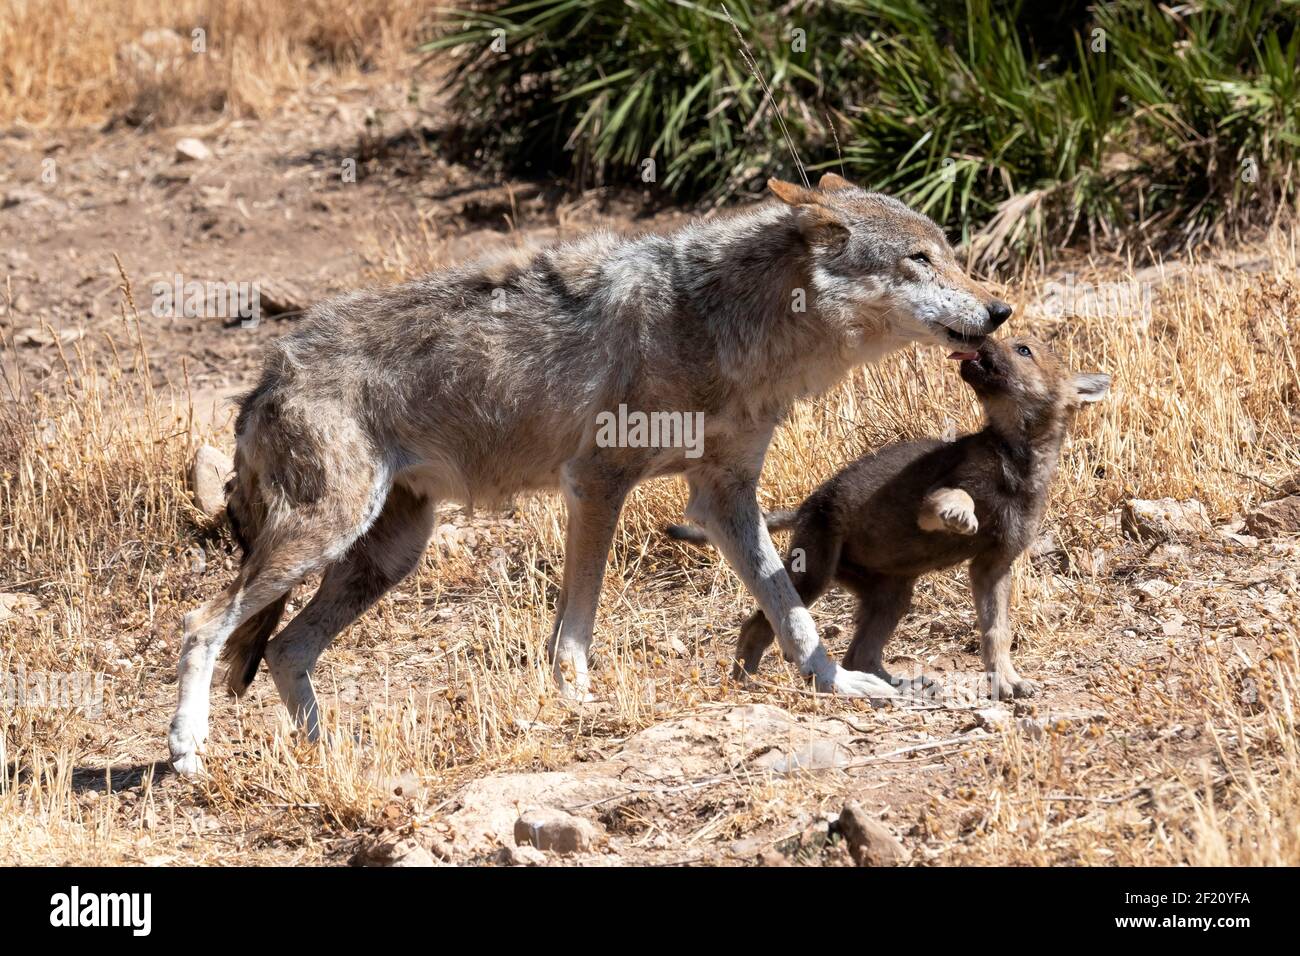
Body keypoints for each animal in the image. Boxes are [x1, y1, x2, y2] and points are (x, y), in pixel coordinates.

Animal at [167, 172, 1012, 775]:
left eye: (949, 251)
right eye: (919, 260)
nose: (1000, 310)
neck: (720, 322)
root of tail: (269, 371)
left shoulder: (726, 497)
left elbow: (788, 610)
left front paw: (838, 685)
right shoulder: (598, 481)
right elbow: (578, 619)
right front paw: (576, 698)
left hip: (386, 555)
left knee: (285, 649)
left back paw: (336, 756)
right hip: (325, 537)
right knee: (204, 625)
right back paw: (188, 752)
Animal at [667, 336, 1110, 699]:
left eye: (1023, 350)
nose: (979, 342)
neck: (1016, 457)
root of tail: (808, 504)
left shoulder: (993, 567)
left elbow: (996, 632)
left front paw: (1007, 681)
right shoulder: (931, 504)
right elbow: (958, 496)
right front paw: (960, 515)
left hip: (891, 594)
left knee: (858, 654)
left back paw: (899, 684)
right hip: (814, 574)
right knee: (761, 622)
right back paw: (744, 680)